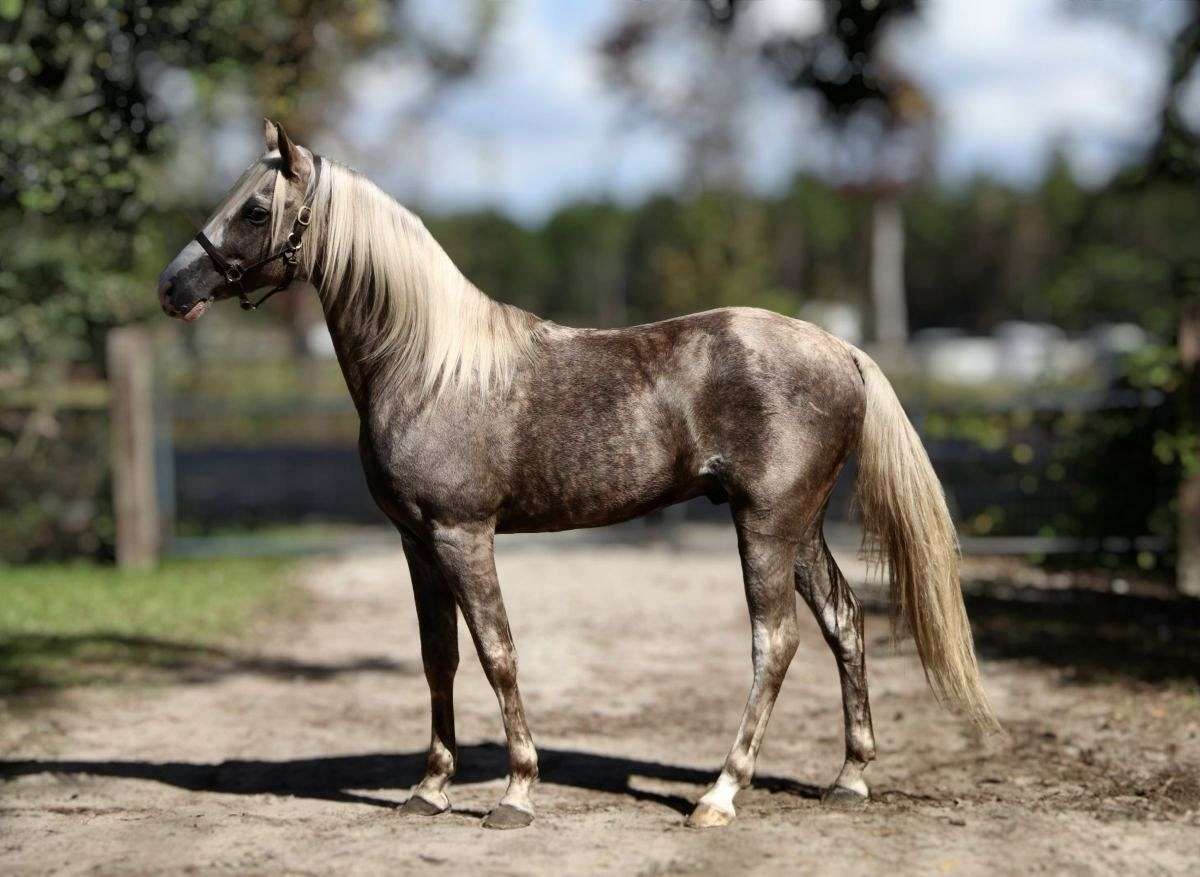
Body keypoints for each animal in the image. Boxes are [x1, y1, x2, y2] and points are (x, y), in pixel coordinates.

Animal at [157, 120, 997, 830]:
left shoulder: (464, 535)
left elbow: (497, 652)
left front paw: (516, 792)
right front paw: (429, 787)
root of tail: (841, 349)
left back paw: (720, 793)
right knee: (844, 622)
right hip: (800, 527)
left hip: (765, 525)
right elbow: (439, 658)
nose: (172, 286)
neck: (428, 366)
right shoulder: (416, 543)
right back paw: (848, 777)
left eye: (256, 209)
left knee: (776, 641)